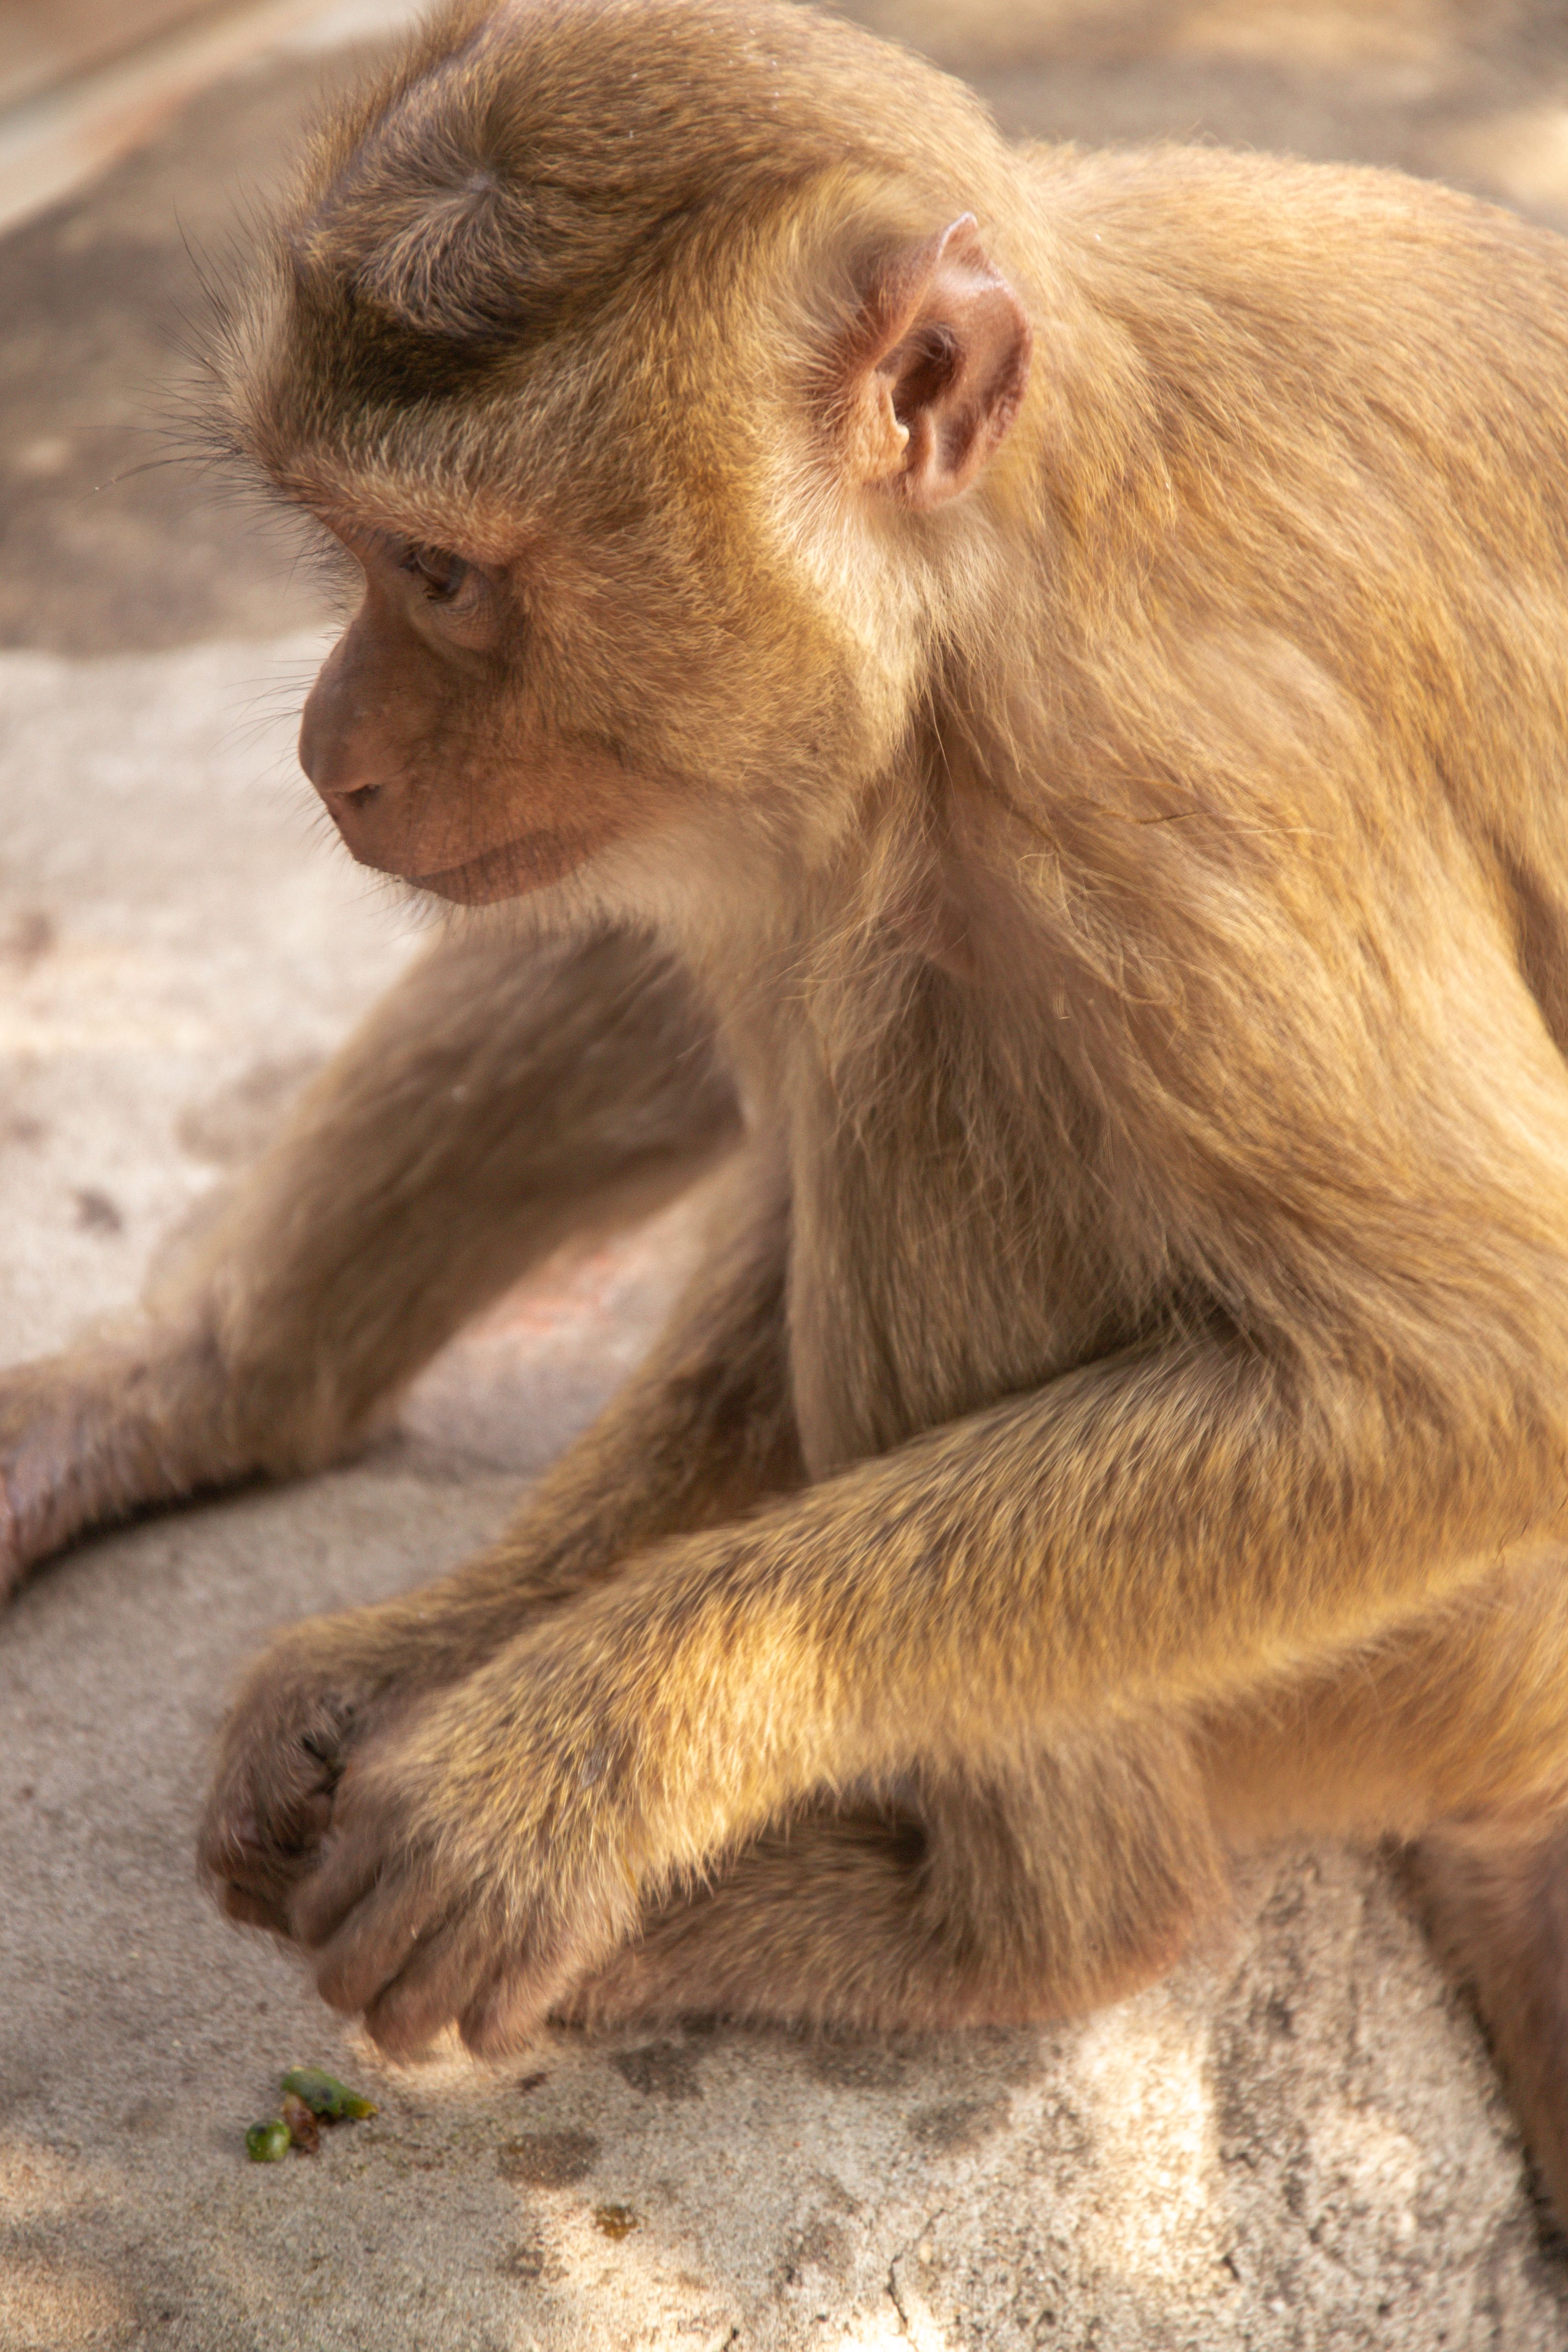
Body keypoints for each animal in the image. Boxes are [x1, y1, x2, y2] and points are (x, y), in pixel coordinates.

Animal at [8, 0, 1568, 2228]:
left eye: (439, 575)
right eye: (353, 555)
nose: (329, 747)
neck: (1001, 555)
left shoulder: (1166, 781)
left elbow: (1478, 1365)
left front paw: (578, 1758)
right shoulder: (751, 771)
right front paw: (405, 1635)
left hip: (1438, 1665)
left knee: (924, 1027)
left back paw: (1020, 1930)